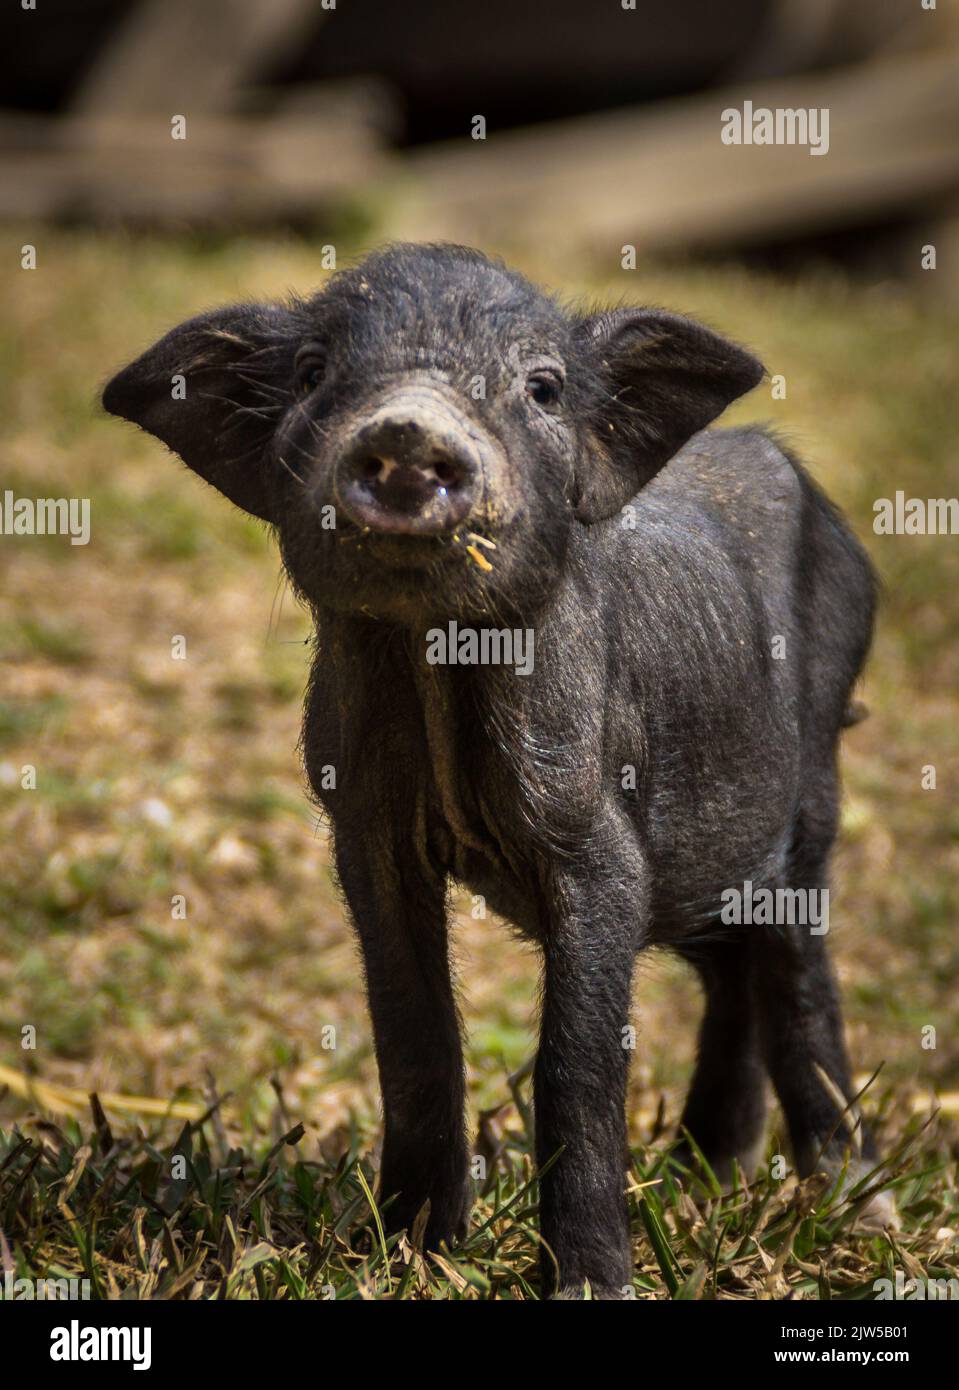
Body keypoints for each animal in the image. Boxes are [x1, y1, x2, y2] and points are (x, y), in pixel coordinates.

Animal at [103, 242, 890, 1298]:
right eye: (312, 372)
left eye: (542, 387)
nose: (406, 426)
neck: (439, 669)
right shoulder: (364, 833)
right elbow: (414, 1034)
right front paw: (404, 1254)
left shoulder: (599, 841)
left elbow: (575, 1062)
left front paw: (592, 1286)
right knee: (732, 970)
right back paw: (705, 1176)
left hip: (811, 793)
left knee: (797, 967)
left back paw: (856, 1207)